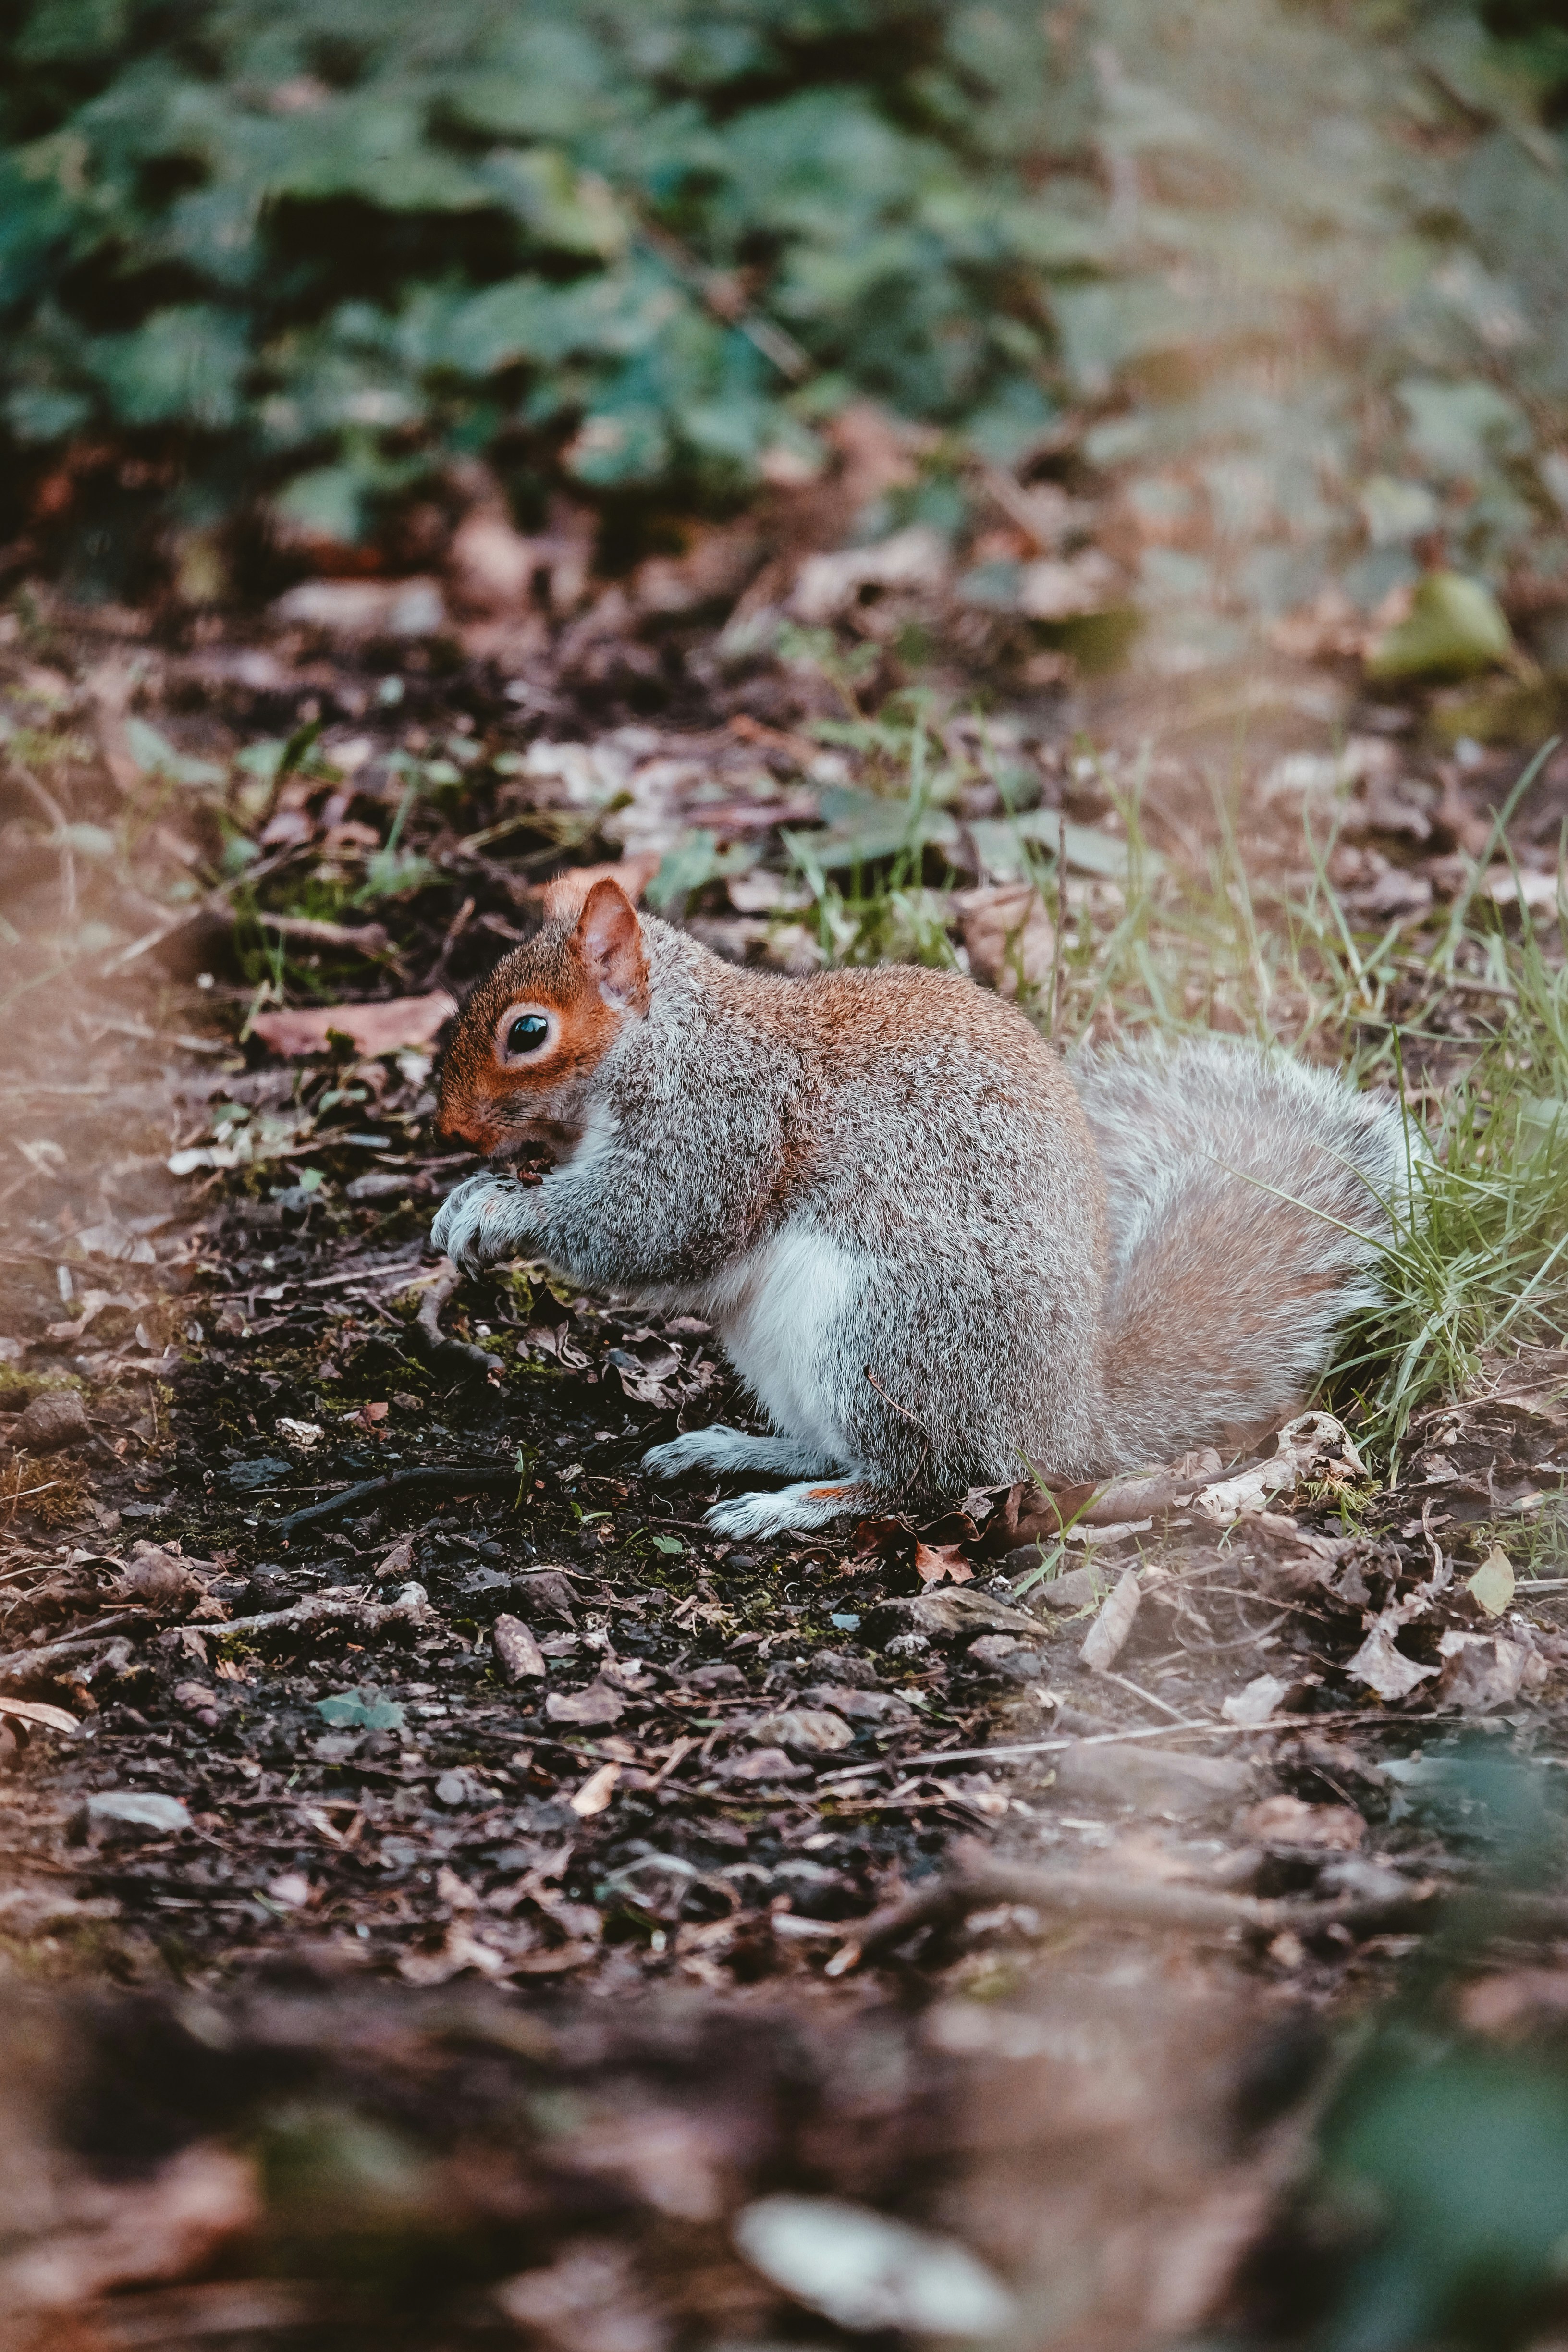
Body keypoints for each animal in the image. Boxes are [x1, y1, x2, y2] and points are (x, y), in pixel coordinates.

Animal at [431, 874, 1415, 1541]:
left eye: (528, 1031)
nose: (449, 1127)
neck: (662, 1039)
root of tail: (1063, 1419)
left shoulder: (721, 1119)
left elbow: (653, 1225)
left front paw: (499, 1215)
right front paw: (470, 1197)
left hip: (884, 1333)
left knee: (917, 1478)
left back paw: (791, 1507)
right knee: (841, 1446)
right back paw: (737, 1451)